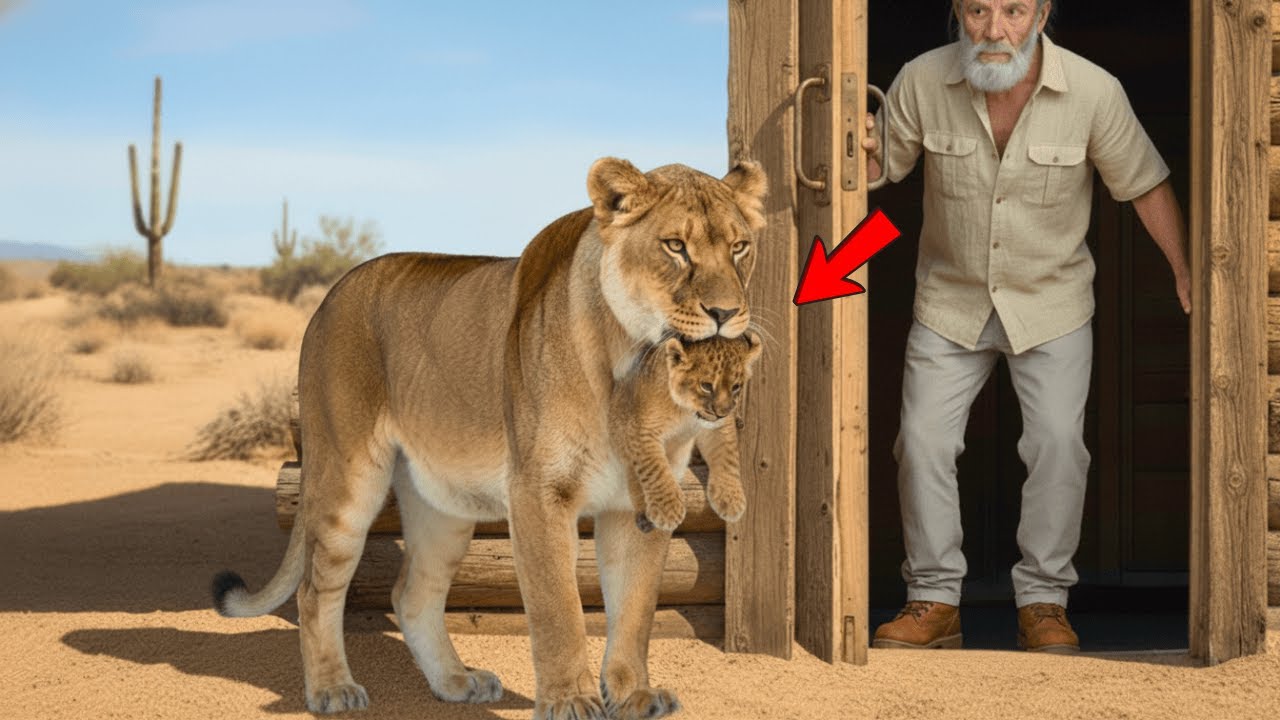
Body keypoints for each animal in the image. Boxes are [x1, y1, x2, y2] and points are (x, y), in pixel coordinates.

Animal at [612, 333, 762, 534]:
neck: (686, 412)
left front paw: (732, 498)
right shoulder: (639, 429)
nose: (722, 413)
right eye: (706, 386)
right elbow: (655, 469)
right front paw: (668, 510)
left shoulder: (717, 427)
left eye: (736, 387)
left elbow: (727, 455)